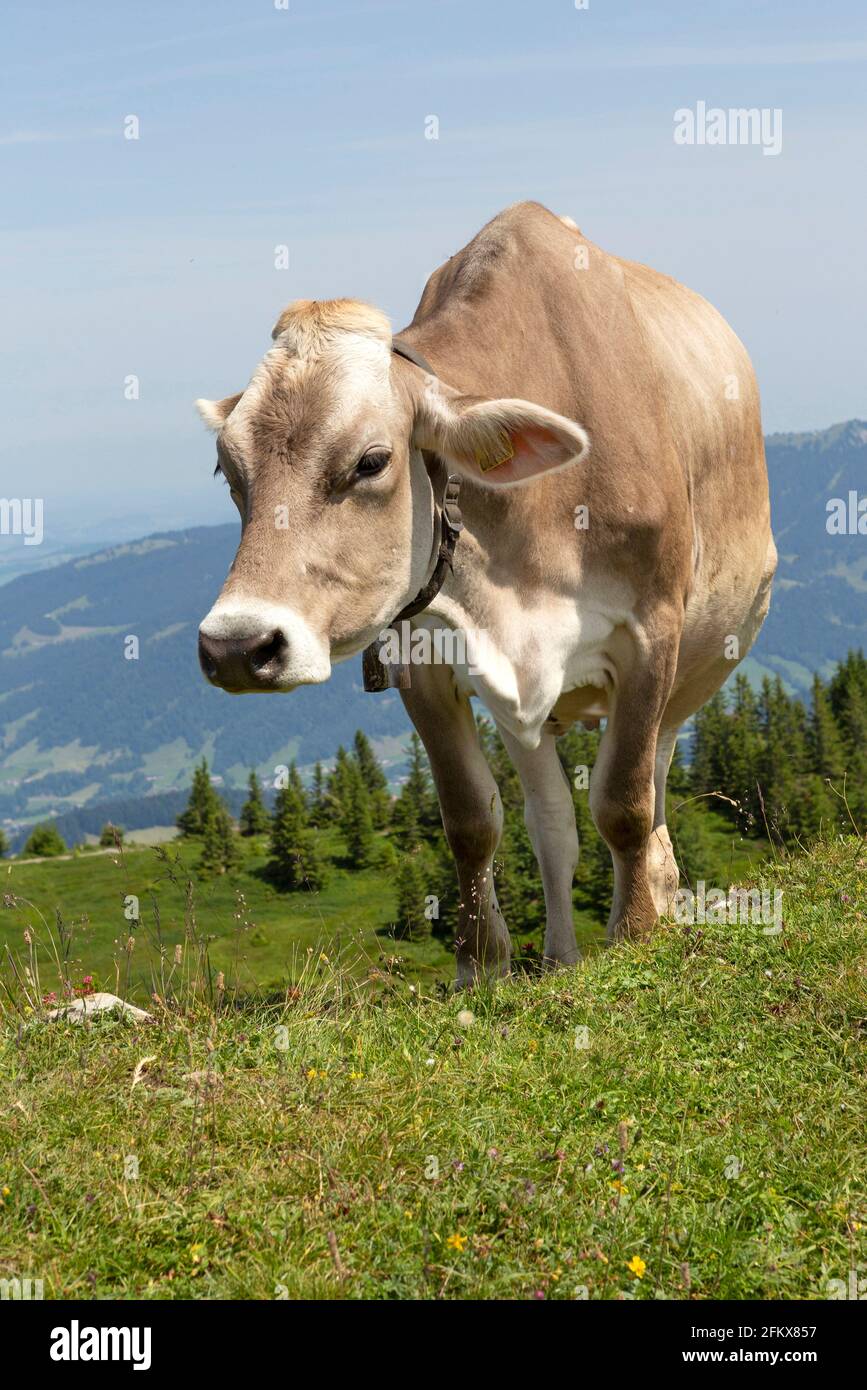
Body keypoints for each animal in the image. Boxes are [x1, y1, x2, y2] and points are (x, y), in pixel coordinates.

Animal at [196, 201, 776, 985]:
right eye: (229, 470)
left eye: (371, 461)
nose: (235, 645)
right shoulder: (421, 661)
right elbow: (472, 821)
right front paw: (481, 964)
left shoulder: (649, 632)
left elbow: (624, 803)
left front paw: (635, 936)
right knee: (552, 824)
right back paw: (559, 958)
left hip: (694, 673)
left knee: (651, 796)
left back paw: (655, 898)